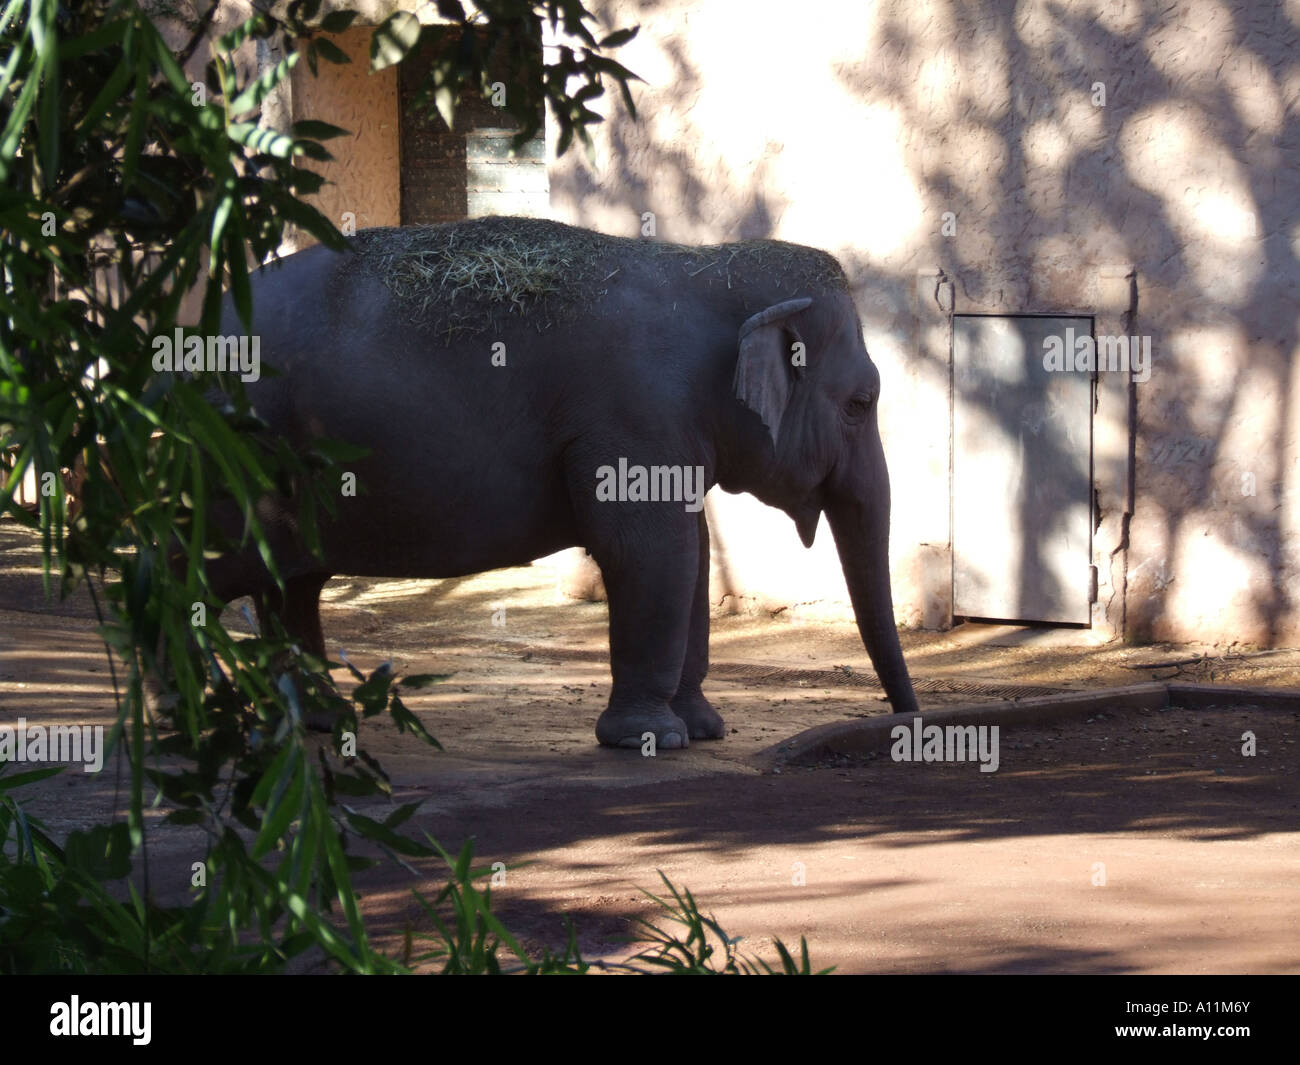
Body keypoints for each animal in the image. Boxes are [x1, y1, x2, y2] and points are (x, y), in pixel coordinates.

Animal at [208, 215, 919, 749]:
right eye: (860, 404)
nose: (907, 720)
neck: (705, 267)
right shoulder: (634, 412)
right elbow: (651, 552)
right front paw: (649, 739)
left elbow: (687, 556)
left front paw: (703, 729)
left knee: (292, 586)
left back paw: (315, 722)